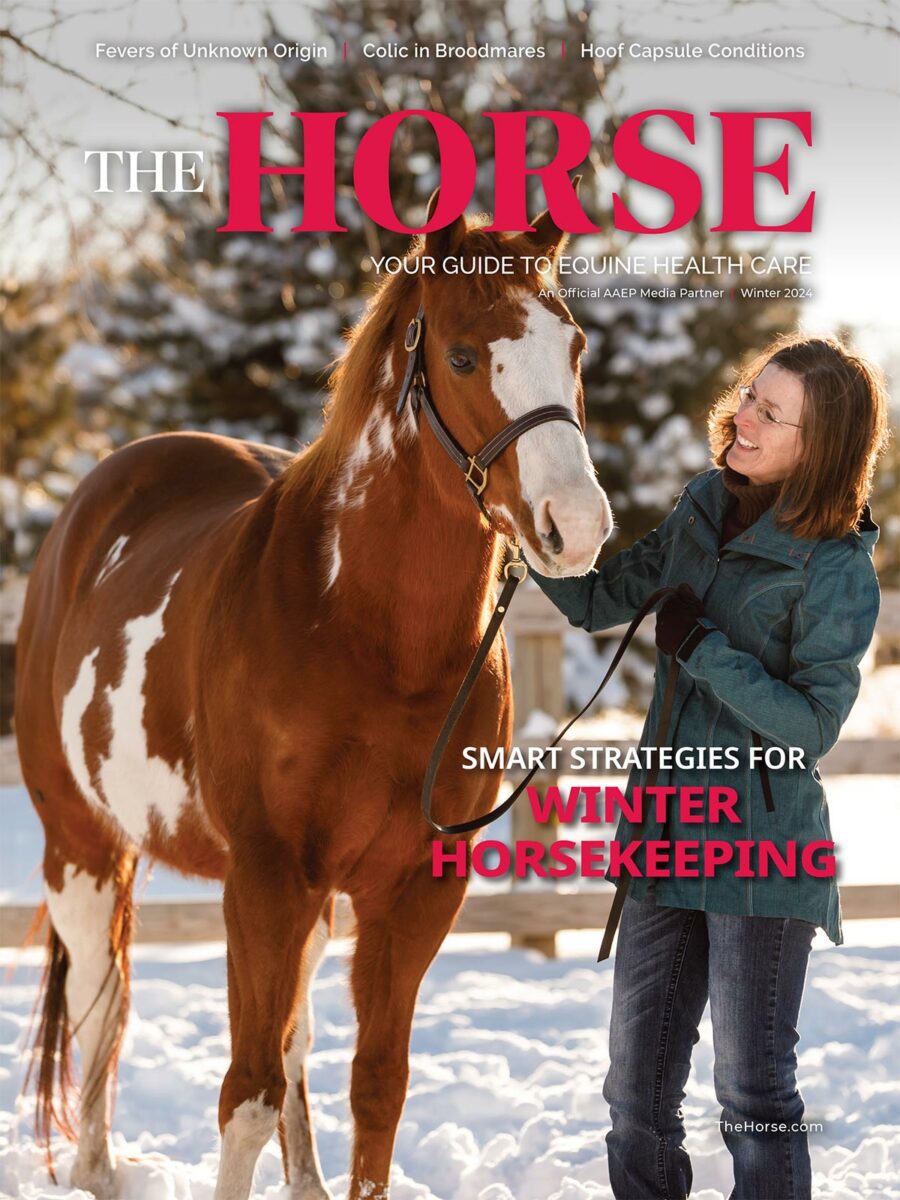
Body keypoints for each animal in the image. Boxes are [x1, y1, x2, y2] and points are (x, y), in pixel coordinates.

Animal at [15, 208, 612, 1200]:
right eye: (460, 355)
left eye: (575, 348)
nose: (579, 524)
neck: (371, 638)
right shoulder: (265, 878)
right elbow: (247, 1095)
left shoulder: (414, 889)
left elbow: (374, 1086)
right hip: (85, 852)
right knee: (105, 1008)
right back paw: (98, 1168)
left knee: (287, 1038)